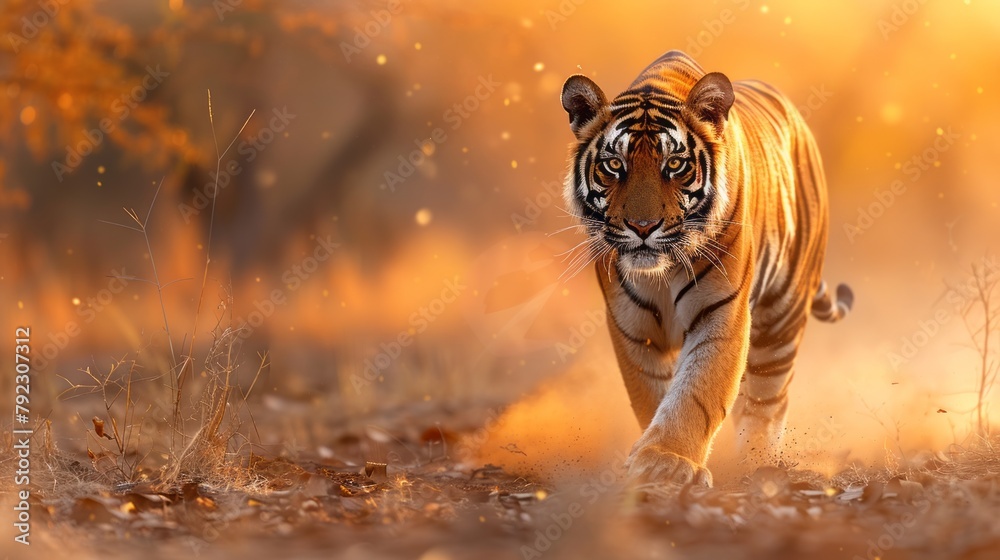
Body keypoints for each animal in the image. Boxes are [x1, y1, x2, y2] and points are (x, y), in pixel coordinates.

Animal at [559, 51, 852, 486]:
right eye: (613, 164)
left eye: (675, 164)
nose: (642, 227)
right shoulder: (631, 325)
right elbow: (652, 395)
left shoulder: (721, 312)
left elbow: (697, 391)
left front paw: (666, 461)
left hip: (781, 319)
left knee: (767, 400)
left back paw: (756, 463)